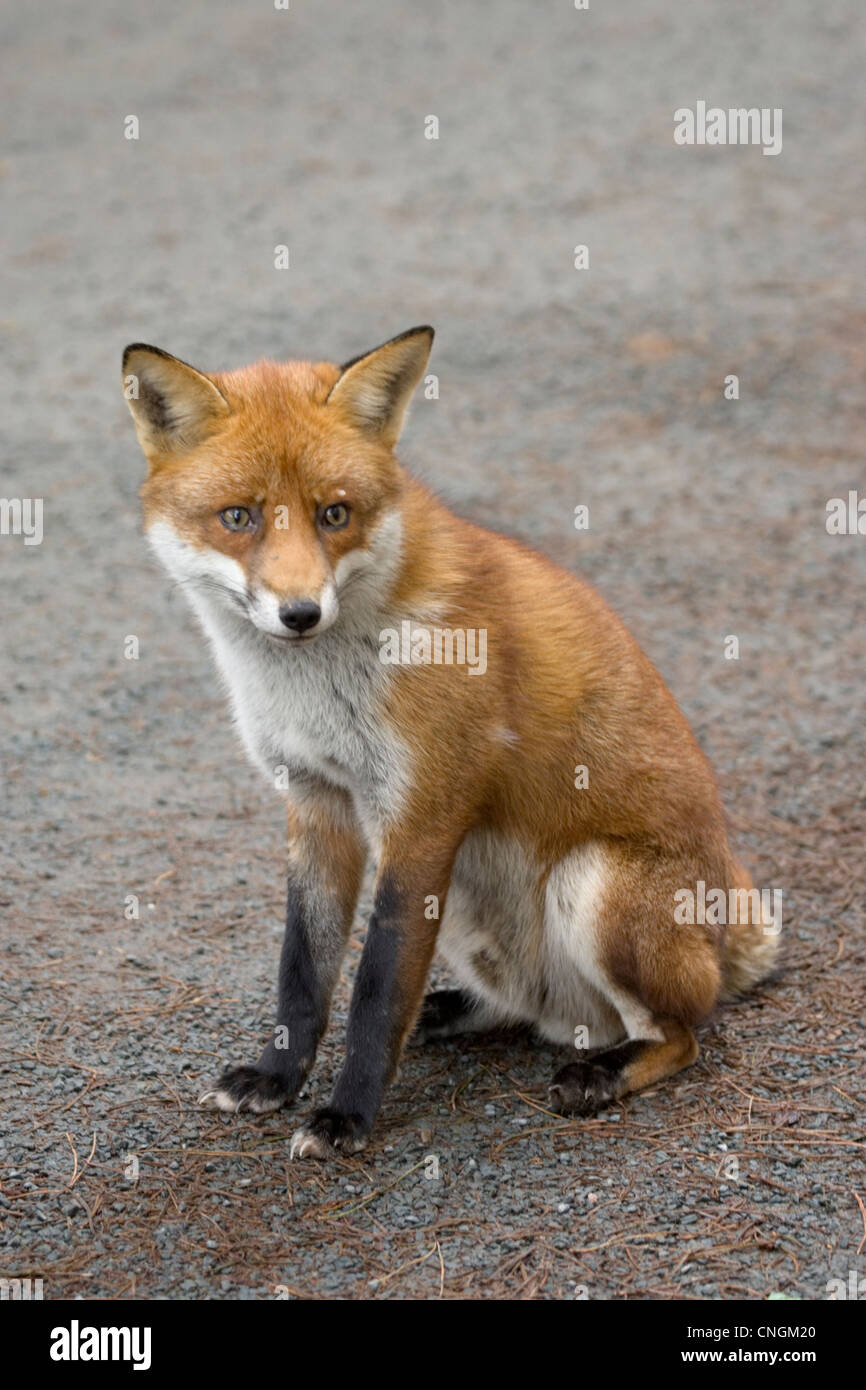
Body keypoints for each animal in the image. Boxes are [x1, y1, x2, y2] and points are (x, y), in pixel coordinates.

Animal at [122, 325, 779, 1158]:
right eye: (238, 517)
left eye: (334, 514)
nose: (300, 613)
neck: (317, 684)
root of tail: (725, 936)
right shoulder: (316, 801)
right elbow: (303, 972)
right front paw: (276, 1076)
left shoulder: (423, 815)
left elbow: (374, 989)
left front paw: (346, 1117)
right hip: (473, 898)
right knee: (533, 1010)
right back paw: (461, 1010)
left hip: (589, 884)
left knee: (680, 1034)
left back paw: (601, 1073)